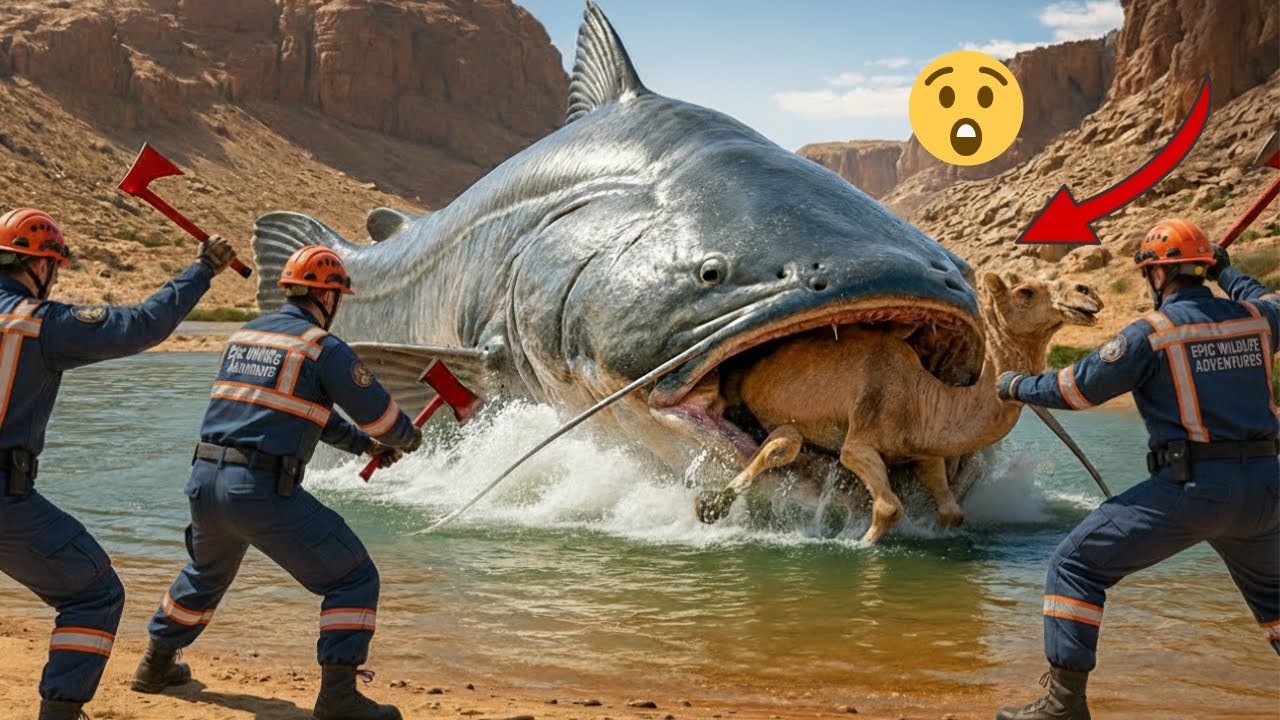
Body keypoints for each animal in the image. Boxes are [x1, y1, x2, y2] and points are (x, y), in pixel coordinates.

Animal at [696, 271, 1103, 543]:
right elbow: (888, 507)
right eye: (1026, 291)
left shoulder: (924, 453)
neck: (922, 397)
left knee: (782, 441)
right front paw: (860, 545)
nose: (1088, 293)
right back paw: (710, 505)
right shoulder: (859, 443)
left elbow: (952, 511)